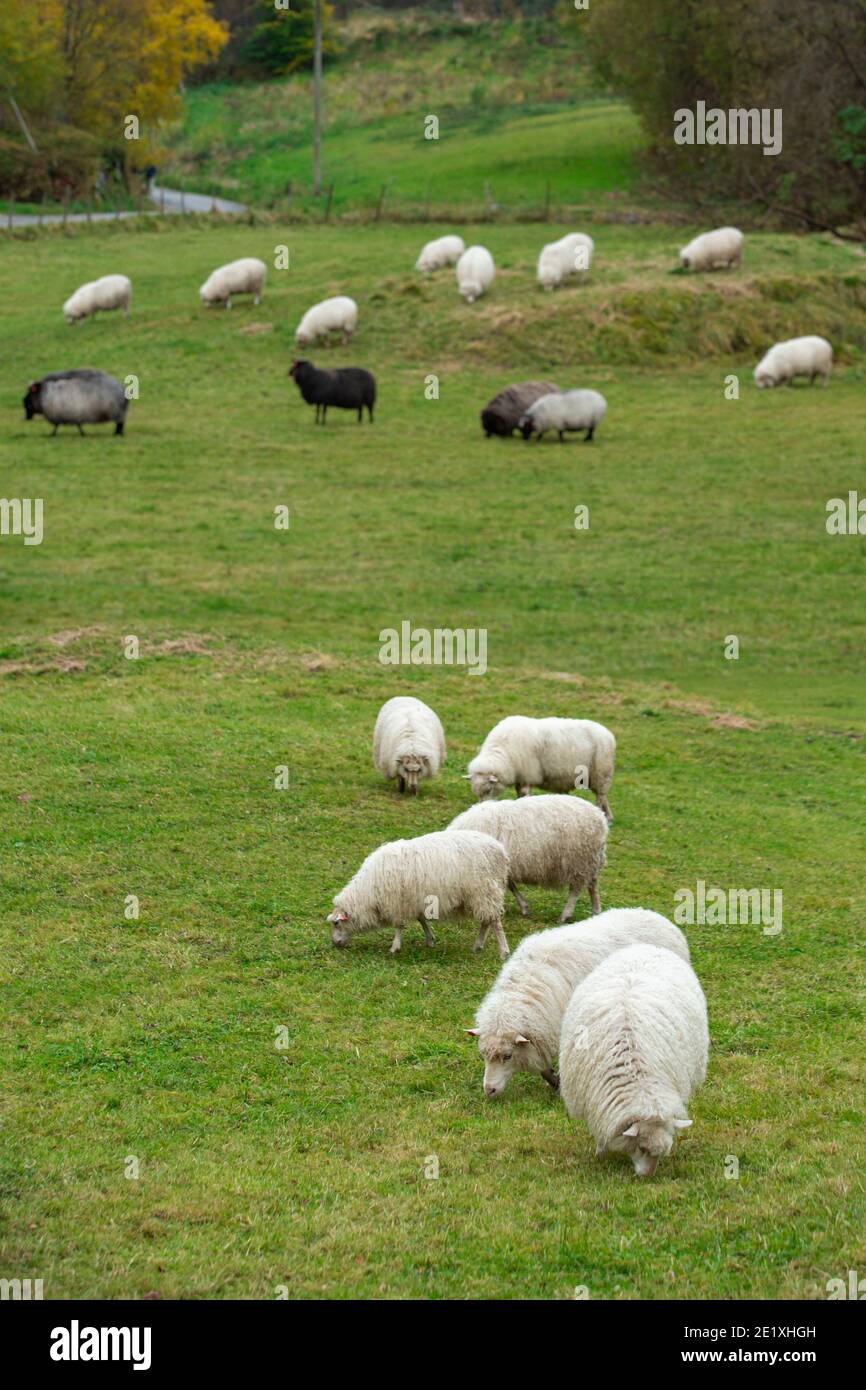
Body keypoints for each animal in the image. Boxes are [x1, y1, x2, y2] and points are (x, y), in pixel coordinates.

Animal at [327, 829, 511, 959]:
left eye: (336, 923)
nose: (335, 943)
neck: (368, 893)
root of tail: (500, 850)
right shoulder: (414, 900)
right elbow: (421, 919)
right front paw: (430, 939)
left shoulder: (397, 902)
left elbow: (398, 925)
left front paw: (395, 947)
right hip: (481, 895)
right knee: (486, 921)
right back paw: (477, 946)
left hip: (485, 890)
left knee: (495, 922)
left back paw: (503, 951)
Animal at [449, 794, 607, 925]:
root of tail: (600, 817)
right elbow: (511, 885)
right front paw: (524, 907)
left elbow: (509, 886)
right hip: (591, 861)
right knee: (593, 885)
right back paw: (596, 910)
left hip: (580, 860)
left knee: (576, 889)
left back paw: (565, 915)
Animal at [465, 715, 615, 822]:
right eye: (476, 793)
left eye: (489, 789)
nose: (481, 810)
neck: (503, 753)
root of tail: (607, 733)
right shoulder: (521, 775)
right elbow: (519, 793)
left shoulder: (527, 773)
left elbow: (524, 793)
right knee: (603, 797)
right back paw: (609, 817)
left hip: (601, 772)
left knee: (600, 796)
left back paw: (603, 815)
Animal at [467, 909, 690, 1098]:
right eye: (483, 1054)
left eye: (507, 1056)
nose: (489, 1090)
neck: (526, 987)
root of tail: (660, 918)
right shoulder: (541, 1034)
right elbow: (543, 1068)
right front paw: (554, 1082)